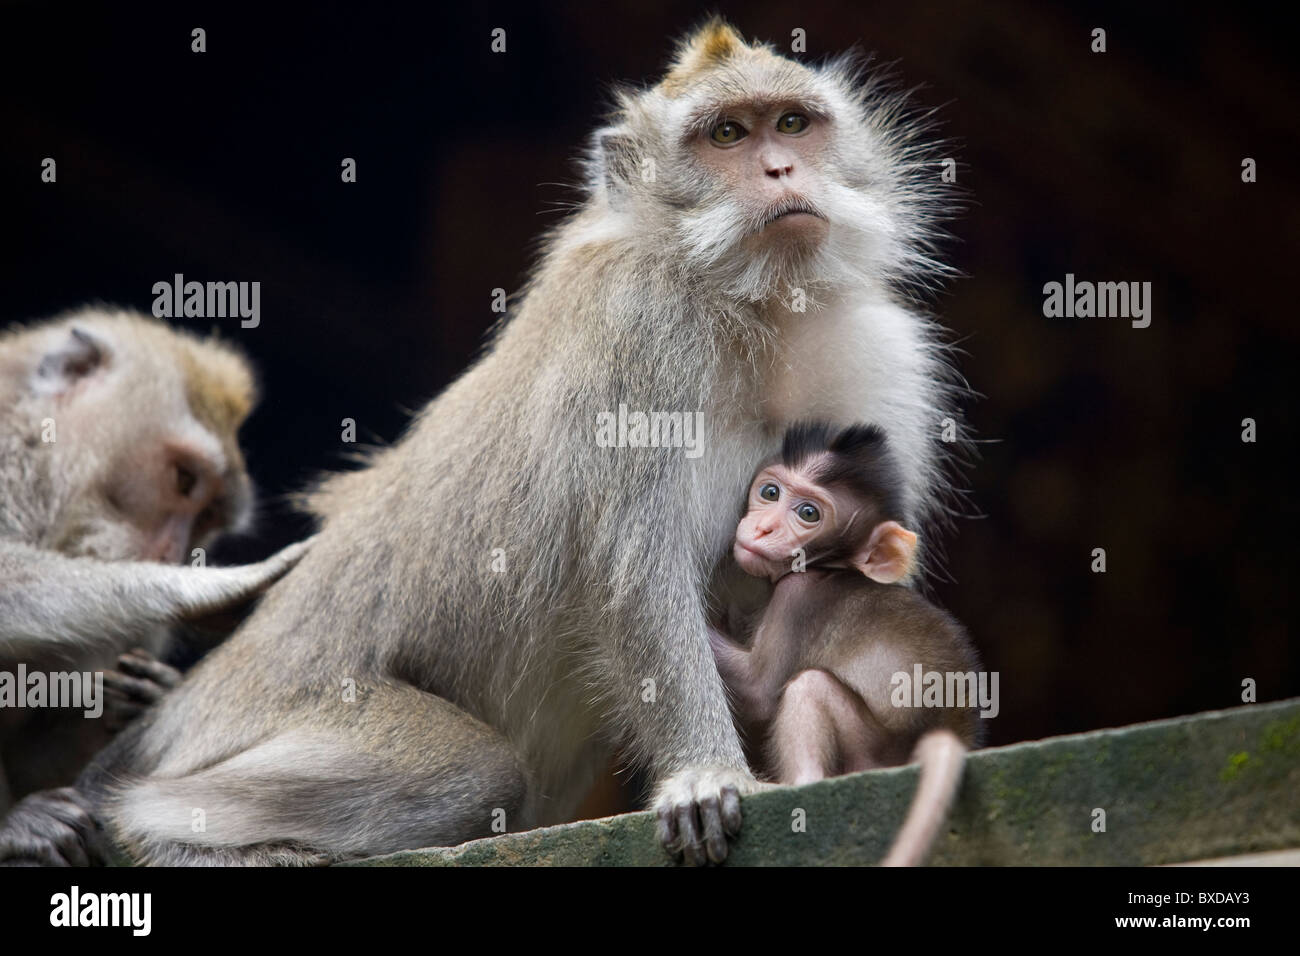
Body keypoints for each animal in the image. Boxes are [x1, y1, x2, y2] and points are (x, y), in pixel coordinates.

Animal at [710, 422, 985, 866]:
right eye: (770, 492)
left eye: (808, 514)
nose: (764, 528)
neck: (830, 568)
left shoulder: (799, 597)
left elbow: (759, 690)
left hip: (870, 753)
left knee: (809, 686)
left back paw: (795, 783)